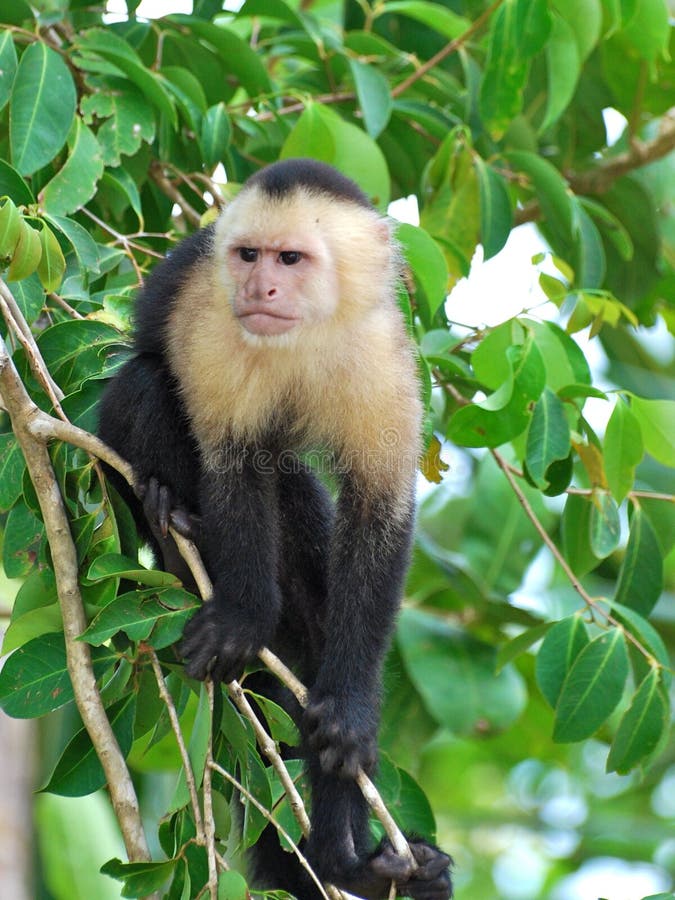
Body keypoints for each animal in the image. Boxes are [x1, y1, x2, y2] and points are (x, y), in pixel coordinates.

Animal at [98, 158, 452, 900]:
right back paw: (174, 525)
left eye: (290, 259)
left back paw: (345, 858)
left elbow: (378, 512)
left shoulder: (382, 355)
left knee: (312, 615)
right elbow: (234, 467)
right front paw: (242, 620)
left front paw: (349, 712)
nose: (258, 287)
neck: (303, 336)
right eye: (247, 256)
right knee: (141, 385)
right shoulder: (214, 329)